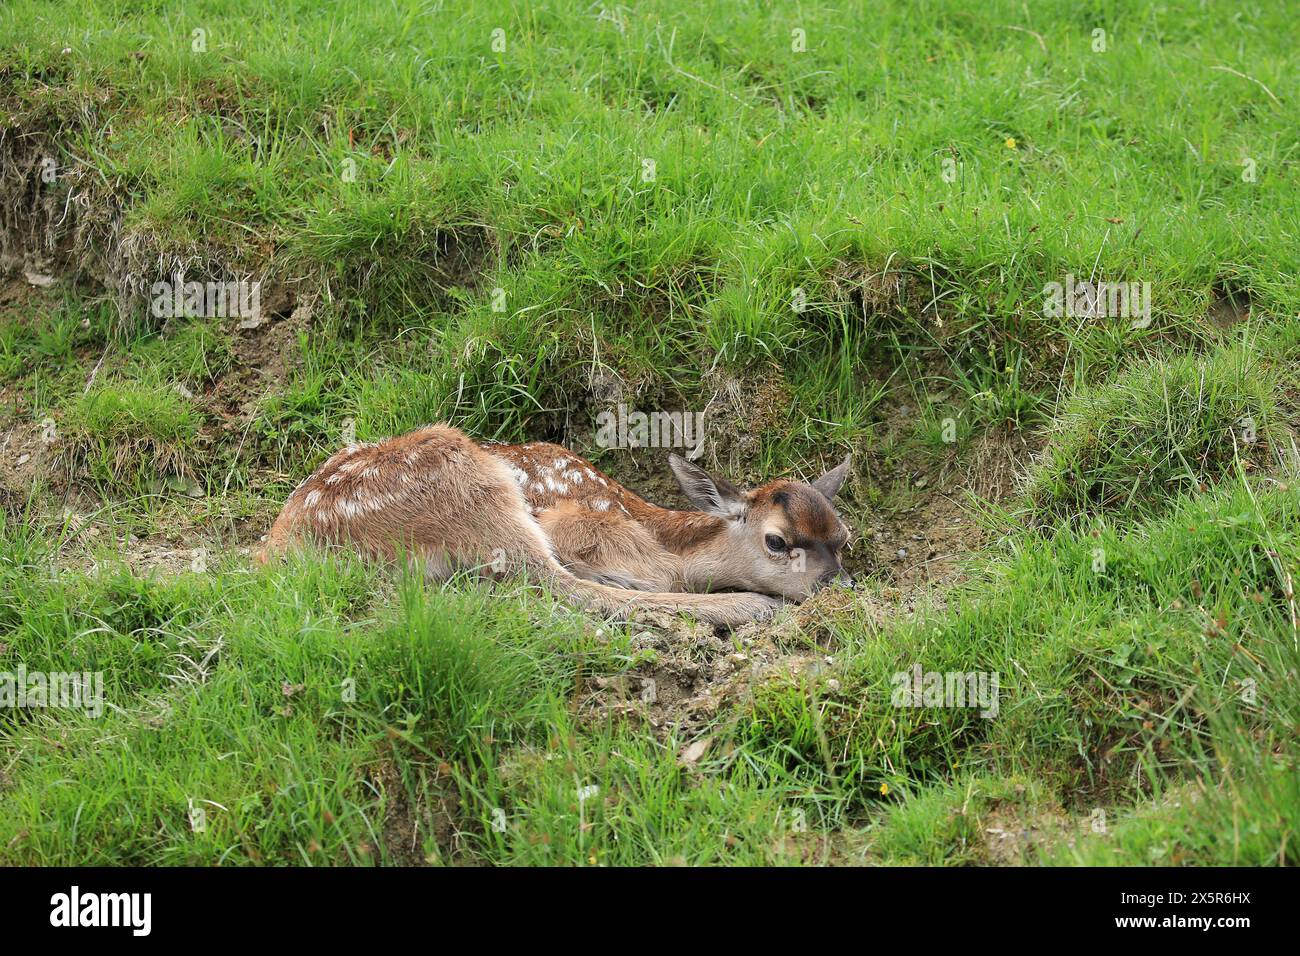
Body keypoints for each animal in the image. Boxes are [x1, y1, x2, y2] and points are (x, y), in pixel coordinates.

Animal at [255, 424, 854, 627]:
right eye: (776, 540)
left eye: (843, 538)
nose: (839, 587)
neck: (663, 540)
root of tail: (277, 549)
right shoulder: (579, 527)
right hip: (470, 485)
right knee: (553, 583)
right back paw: (747, 607)